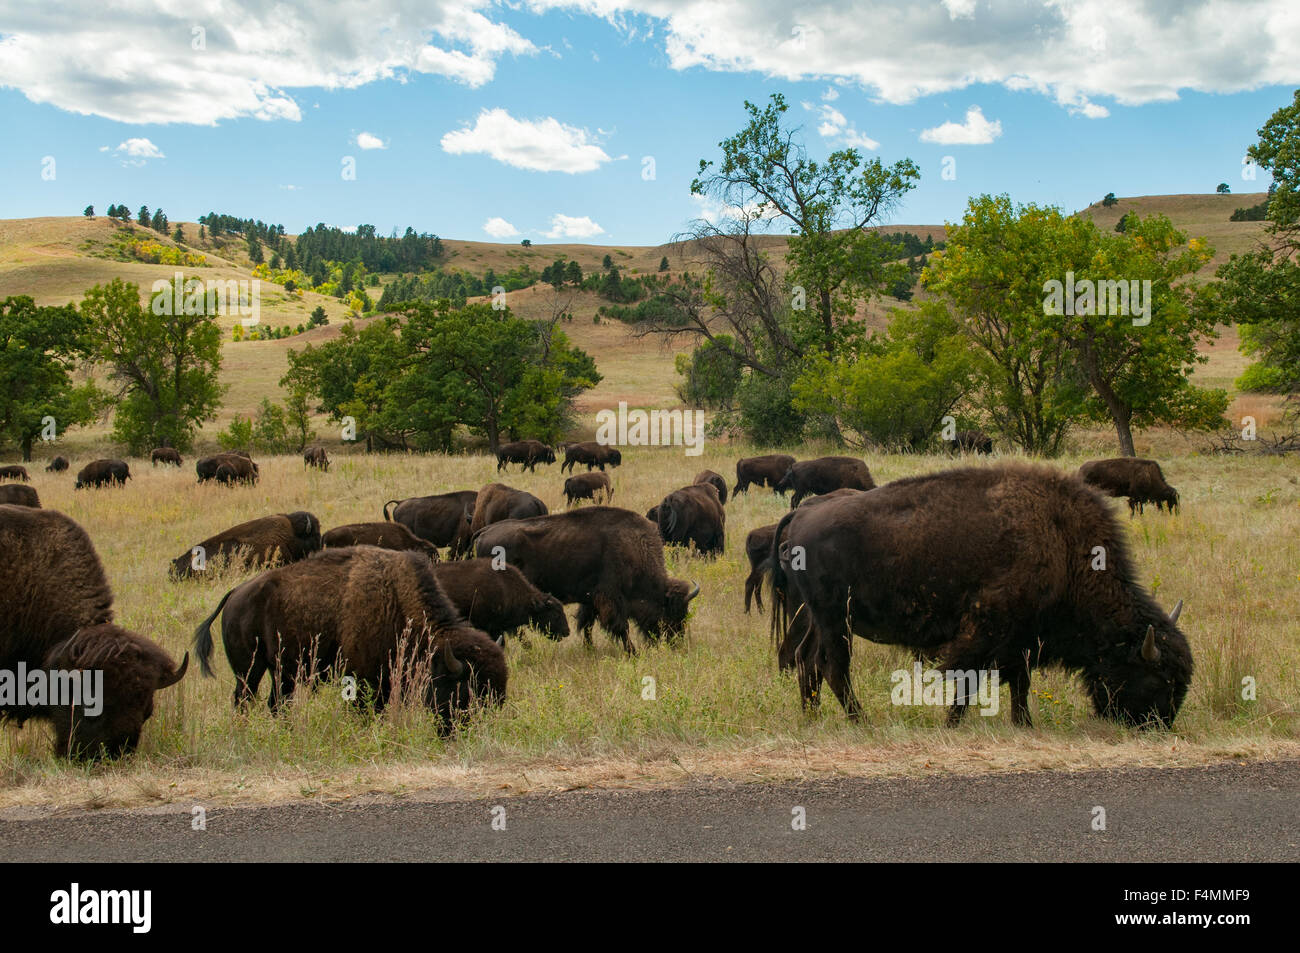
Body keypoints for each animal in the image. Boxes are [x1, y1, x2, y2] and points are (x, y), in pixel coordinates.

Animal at [192, 546, 505, 729]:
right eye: (464, 692)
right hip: (249, 670)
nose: (470, 731)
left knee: (277, 702)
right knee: (244, 700)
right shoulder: (363, 680)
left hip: (283, 672)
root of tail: (235, 594)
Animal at [472, 507, 699, 652]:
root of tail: (484, 532)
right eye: (671, 612)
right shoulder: (610, 598)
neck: (633, 548)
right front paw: (632, 652)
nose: (676, 642)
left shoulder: (591, 599)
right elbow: (620, 627)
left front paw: (589, 648)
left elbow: (587, 623)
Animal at [770, 463, 1193, 728]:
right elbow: (967, 681)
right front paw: (952, 725)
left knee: (809, 661)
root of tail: (803, 514)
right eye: (1159, 679)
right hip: (834, 619)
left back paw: (813, 716)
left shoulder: (1021, 638)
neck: (1061, 542)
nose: (1157, 724)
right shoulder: (985, 631)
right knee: (833, 667)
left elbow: (1020, 683)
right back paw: (861, 720)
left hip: (818, 617)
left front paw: (1024, 724)